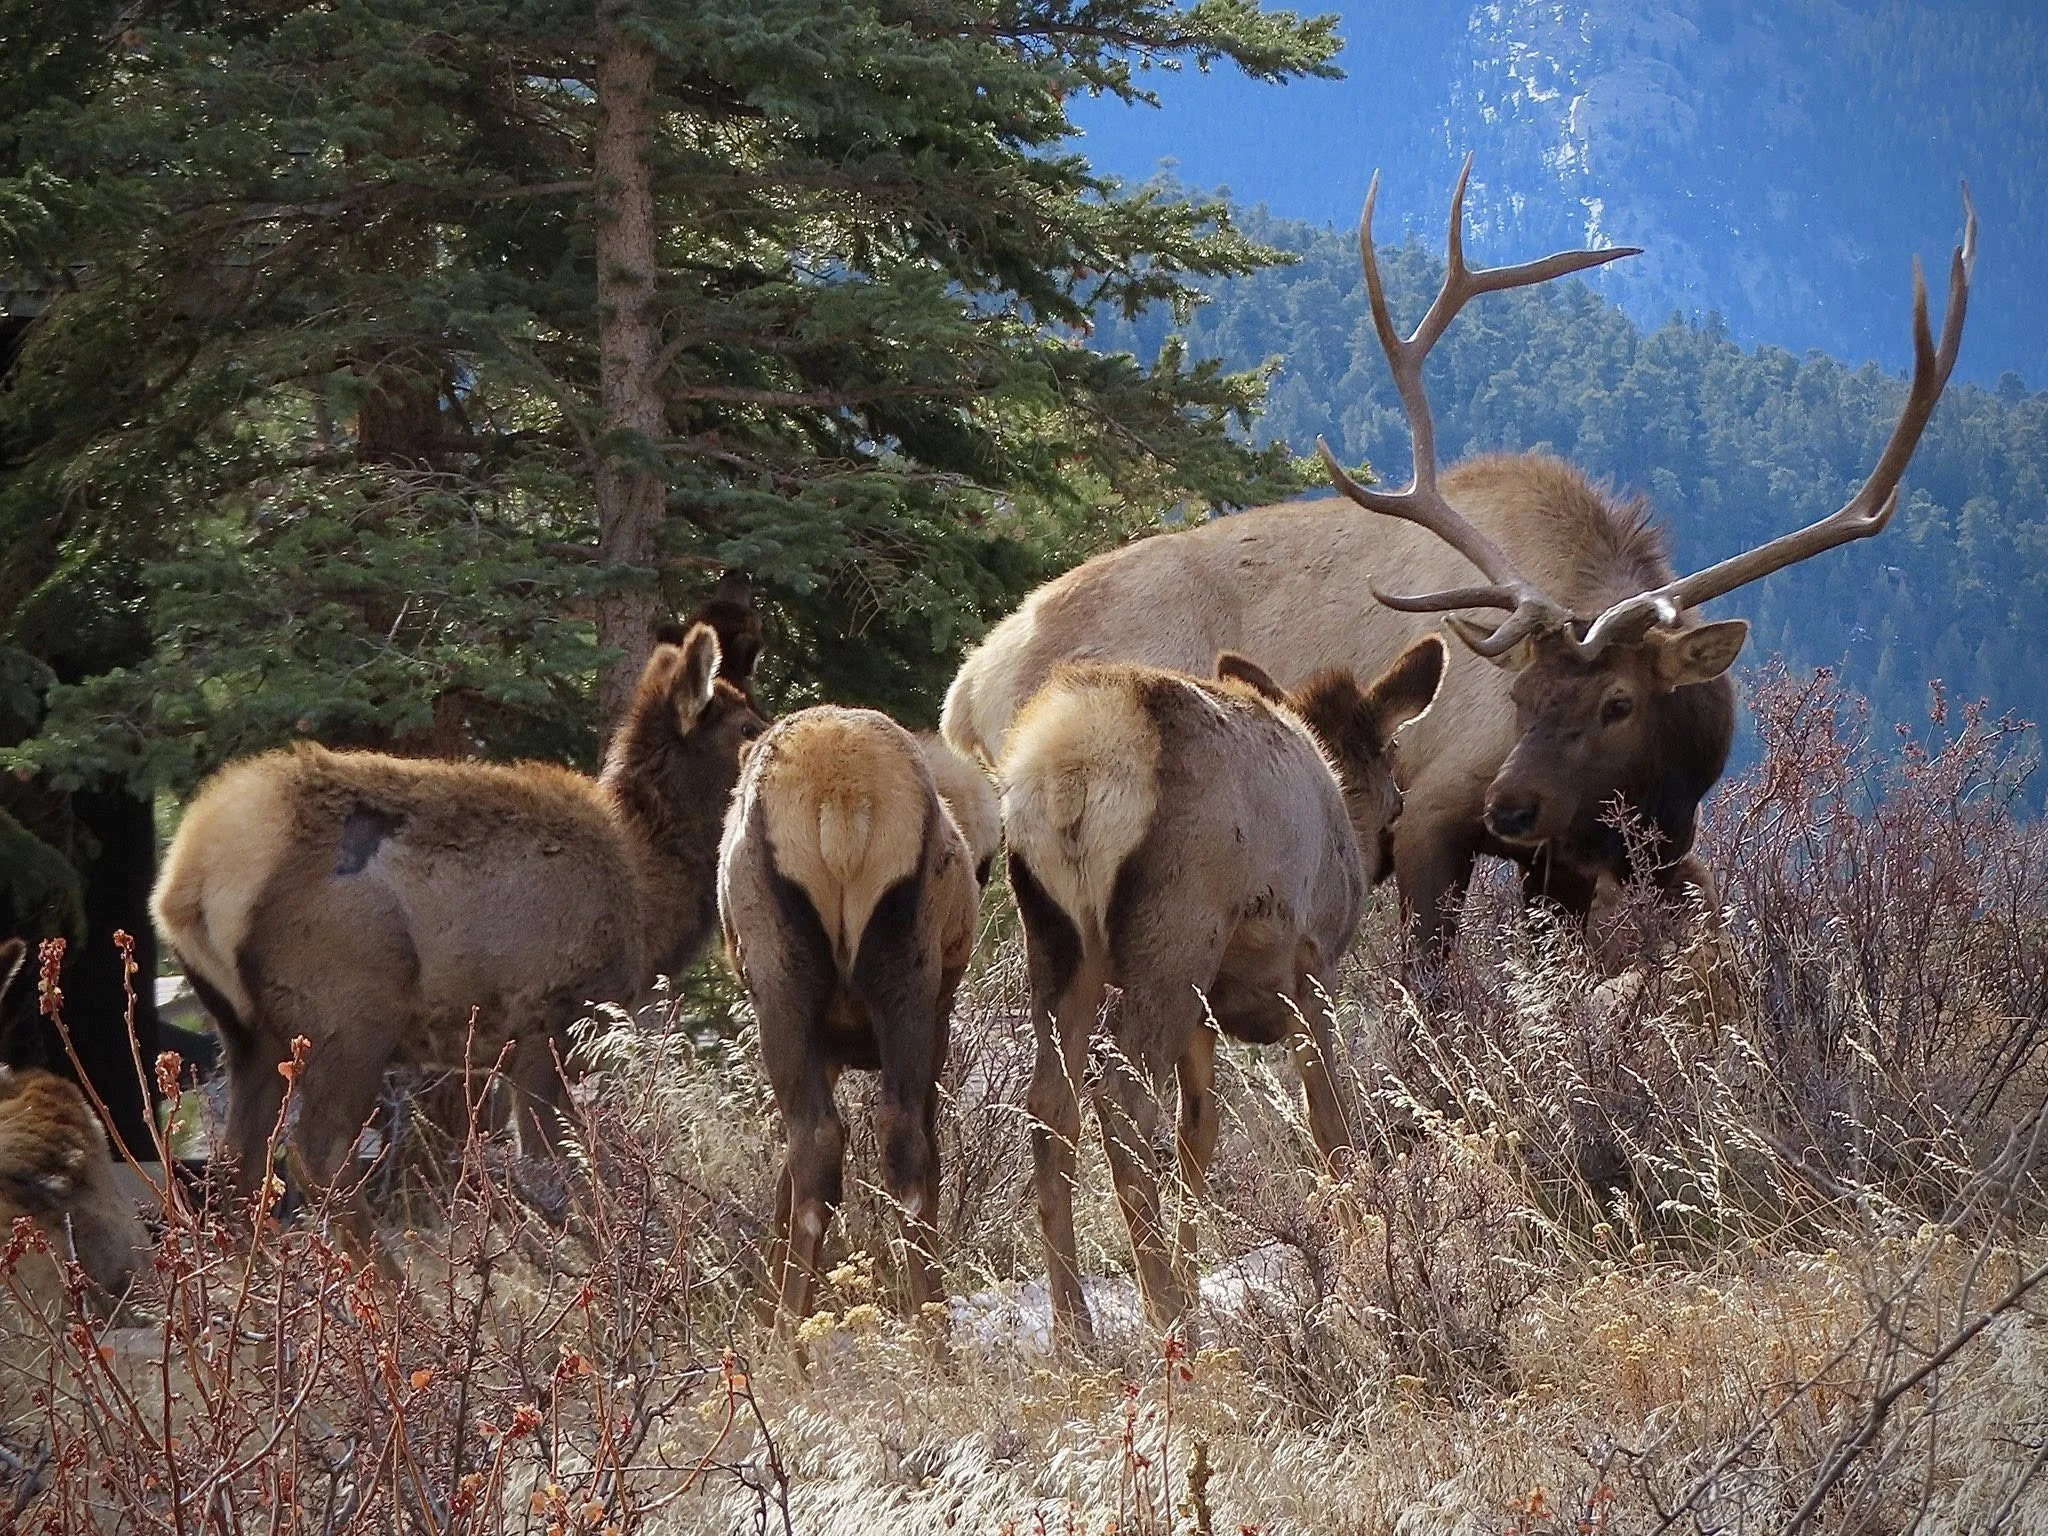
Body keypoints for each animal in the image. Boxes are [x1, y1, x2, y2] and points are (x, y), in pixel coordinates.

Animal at [150, 624, 765, 1201]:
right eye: (748, 728)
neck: (650, 902)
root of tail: (185, 882)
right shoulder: (550, 1022)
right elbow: (556, 1171)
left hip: (248, 1033)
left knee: (237, 1167)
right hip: (350, 1014)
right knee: (316, 1159)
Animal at [718, 709, 997, 1334]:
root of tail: (842, 801)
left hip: (787, 977)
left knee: (818, 1144)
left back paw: (788, 1337)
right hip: (904, 972)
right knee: (896, 1141)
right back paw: (931, 1332)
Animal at [945, 159, 1976, 958]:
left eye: (1620, 701)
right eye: (1515, 697)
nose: (1509, 806)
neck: (1666, 786)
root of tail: (973, 678)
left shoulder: (1608, 860)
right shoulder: (1433, 815)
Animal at [1001, 636, 1445, 1342]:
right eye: (1397, 799)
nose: (1380, 864)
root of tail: (1068, 767)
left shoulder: (1205, 1018)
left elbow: (1199, 1135)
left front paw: (1193, 1273)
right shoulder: (1311, 968)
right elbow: (1330, 1122)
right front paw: (1368, 1262)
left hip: (1058, 945)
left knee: (1050, 1104)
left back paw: (1078, 1332)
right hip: (1177, 934)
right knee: (1121, 1097)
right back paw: (1166, 1315)